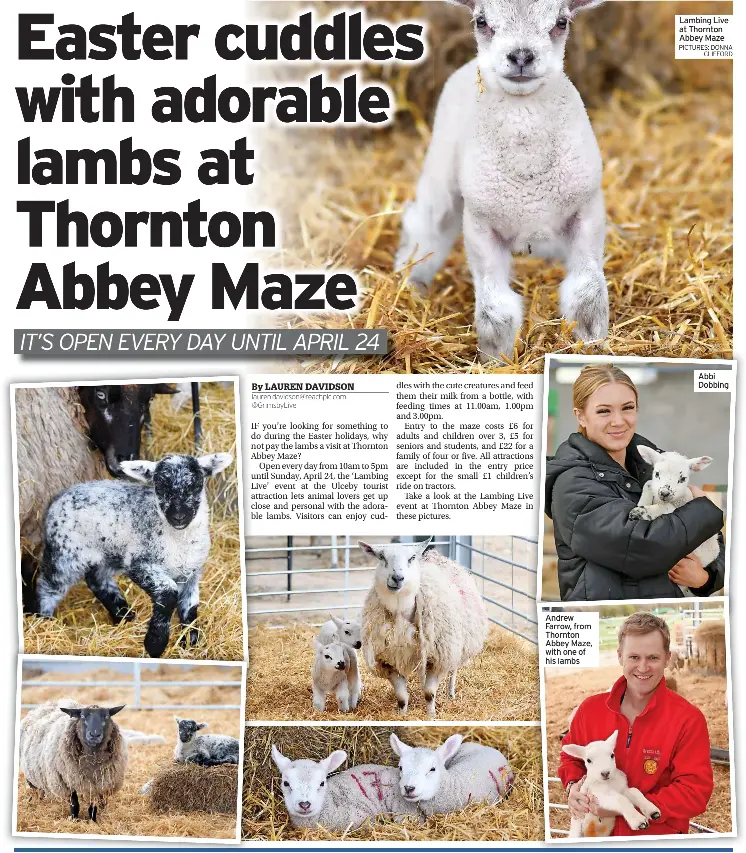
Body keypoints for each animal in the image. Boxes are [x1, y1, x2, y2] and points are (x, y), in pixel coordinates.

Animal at [34, 451, 233, 657]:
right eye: (159, 487)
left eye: (196, 485)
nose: (178, 517)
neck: (178, 540)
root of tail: (58, 498)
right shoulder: (139, 563)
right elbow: (168, 593)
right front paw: (155, 643)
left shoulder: (192, 573)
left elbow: (190, 609)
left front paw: (191, 644)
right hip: (65, 553)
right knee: (49, 586)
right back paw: (44, 621)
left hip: (107, 552)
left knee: (97, 580)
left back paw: (123, 613)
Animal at [359, 539, 488, 717]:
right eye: (381, 557)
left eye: (412, 557)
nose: (397, 578)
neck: (400, 611)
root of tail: (435, 554)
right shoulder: (388, 660)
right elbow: (401, 697)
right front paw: (402, 714)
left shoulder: (438, 658)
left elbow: (429, 693)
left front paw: (431, 715)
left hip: (456, 644)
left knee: (454, 669)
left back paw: (451, 693)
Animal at [395, 0, 608, 361]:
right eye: (481, 21)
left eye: (561, 22)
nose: (521, 56)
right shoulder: (481, 226)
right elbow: (496, 310)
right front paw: (496, 361)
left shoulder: (586, 211)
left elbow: (587, 294)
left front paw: (592, 345)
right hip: (441, 172)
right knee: (425, 226)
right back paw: (410, 284)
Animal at [628, 448, 720, 594]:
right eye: (657, 473)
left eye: (682, 479)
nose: (664, 493)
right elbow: (648, 484)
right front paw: (640, 508)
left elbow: (667, 507)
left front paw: (641, 513)